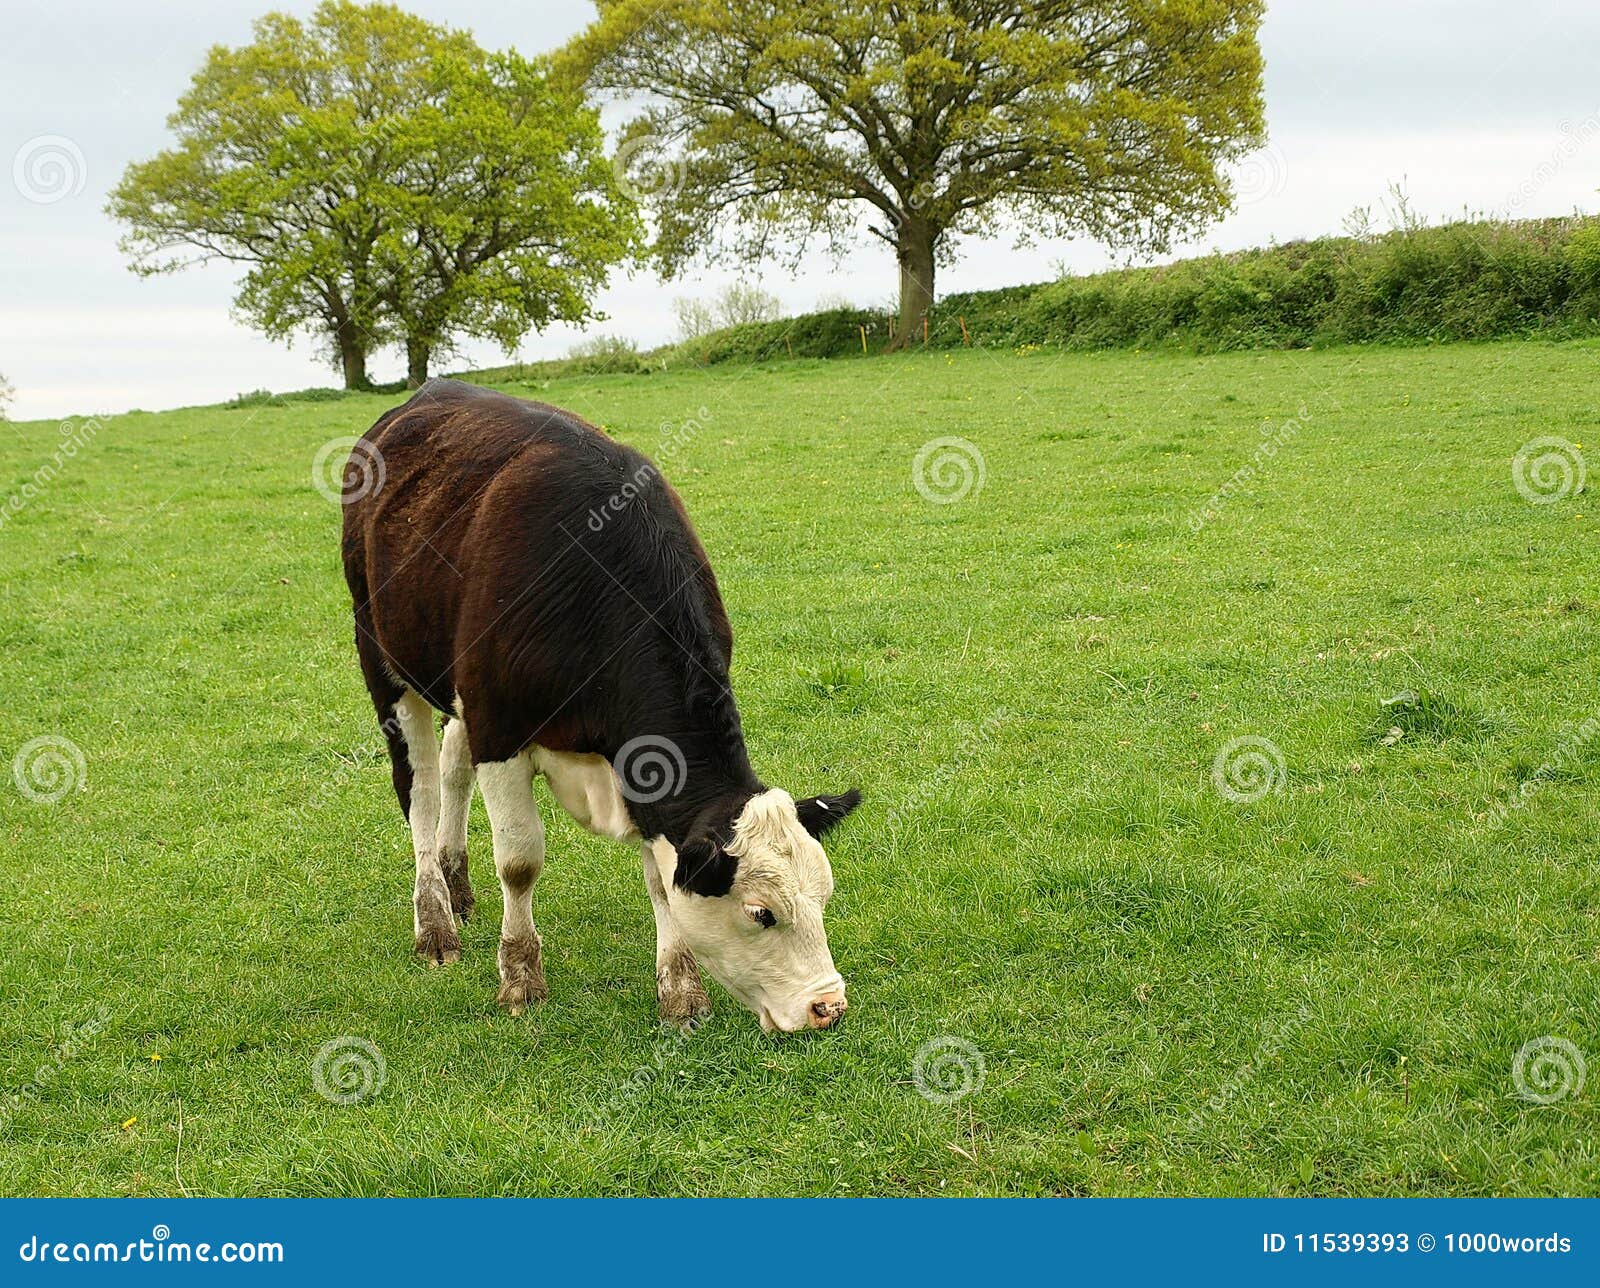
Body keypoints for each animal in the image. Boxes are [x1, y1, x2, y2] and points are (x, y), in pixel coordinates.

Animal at [340, 379, 861, 1033]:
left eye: (825, 894)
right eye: (761, 912)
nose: (828, 1006)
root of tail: (426, 393)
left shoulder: (629, 756)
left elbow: (661, 878)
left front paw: (681, 993)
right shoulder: (501, 729)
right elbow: (519, 860)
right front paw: (520, 980)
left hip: (460, 689)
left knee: (454, 765)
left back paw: (457, 889)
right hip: (383, 657)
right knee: (422, 789)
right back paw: (435, 924)